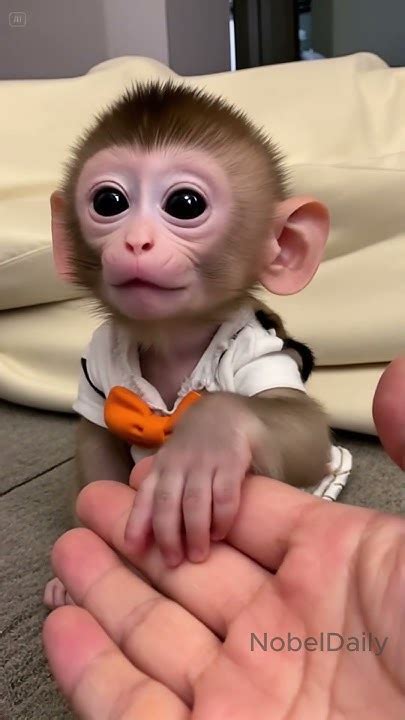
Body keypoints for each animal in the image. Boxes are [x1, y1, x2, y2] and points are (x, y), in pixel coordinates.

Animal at [44, 80, 331, 608]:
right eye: (110, 202)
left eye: (185, 204)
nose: (136, 242)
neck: (173, 337)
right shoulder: (97, 357)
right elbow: (97, 445)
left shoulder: (255, 345)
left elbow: (301, 429)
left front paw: (209, 437)